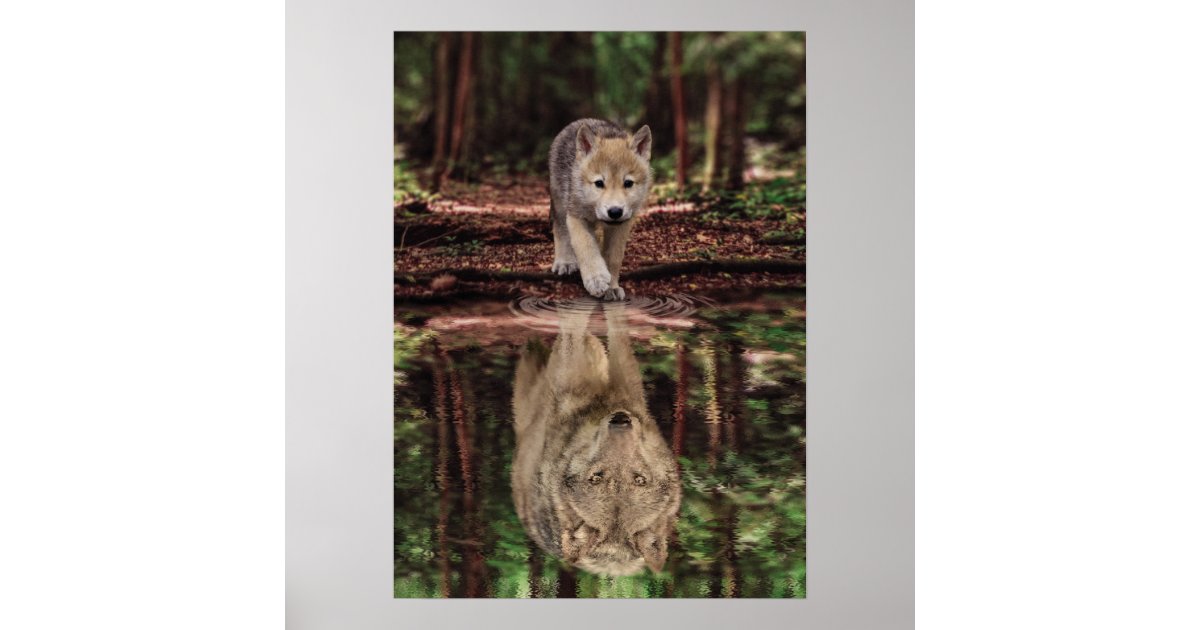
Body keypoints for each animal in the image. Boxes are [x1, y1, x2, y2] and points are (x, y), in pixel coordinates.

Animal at [548, 119, 653, 300]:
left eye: (628, 183)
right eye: (599, 183)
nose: (615, 212)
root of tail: (582, 120)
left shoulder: (622, 225)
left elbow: (613, 257)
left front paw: (611, 287)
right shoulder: (575, 216)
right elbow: (586, 245)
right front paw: (596, 279)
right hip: (560, 204)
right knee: (560, 230)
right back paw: (565, 262)